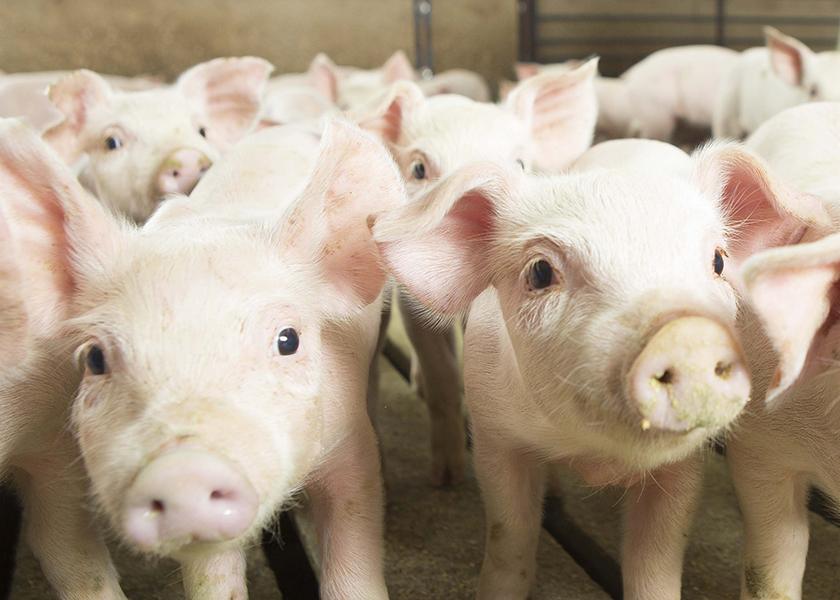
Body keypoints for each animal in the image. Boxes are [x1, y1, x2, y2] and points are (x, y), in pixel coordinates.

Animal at [371, 136, 828, 599]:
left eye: (718, 261)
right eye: (540, 271)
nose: (688, 334)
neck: (595, 455)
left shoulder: (681, 466)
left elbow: (655, 562)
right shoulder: (494, 434)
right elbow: (509, 540)